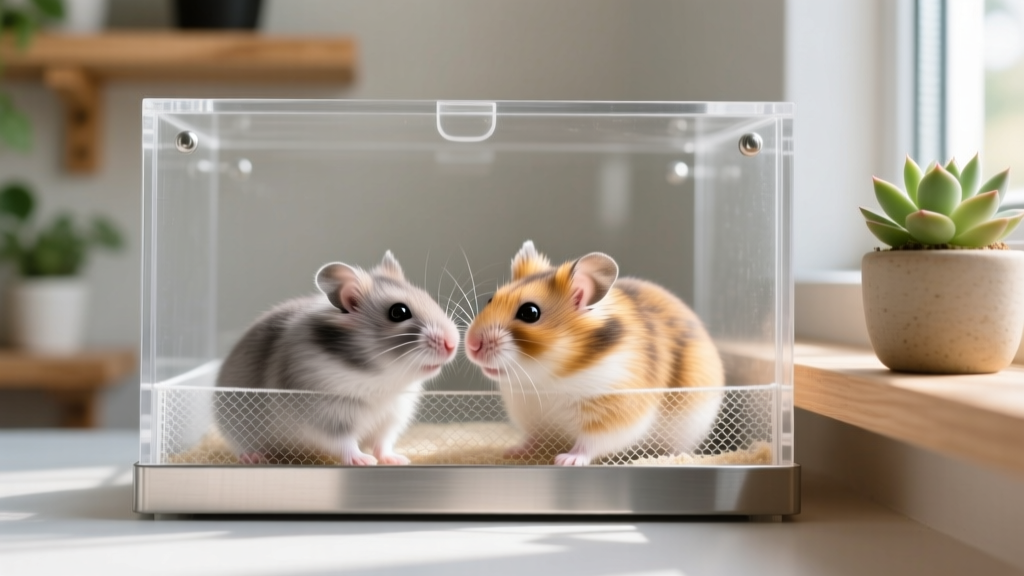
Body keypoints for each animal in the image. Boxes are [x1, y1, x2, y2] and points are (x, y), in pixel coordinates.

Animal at [214, 251, 460, 466]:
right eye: (398, 312)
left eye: (428, 298)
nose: (453, 343)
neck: (379, 379)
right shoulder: (326, 418)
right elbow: (345, 443)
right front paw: (364, 461)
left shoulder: (391, 417)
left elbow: (383, 443)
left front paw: (399, 460)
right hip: (237, 427)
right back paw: (254, 457)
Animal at [464, 241, 725, 466]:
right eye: (490, 299)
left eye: (530, 312)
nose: (470, 345)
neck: (548, 379)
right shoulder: (530, 414)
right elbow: (532, 437)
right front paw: (512, 452)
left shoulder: (616, 410)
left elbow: (590, 444)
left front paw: (565, 460)